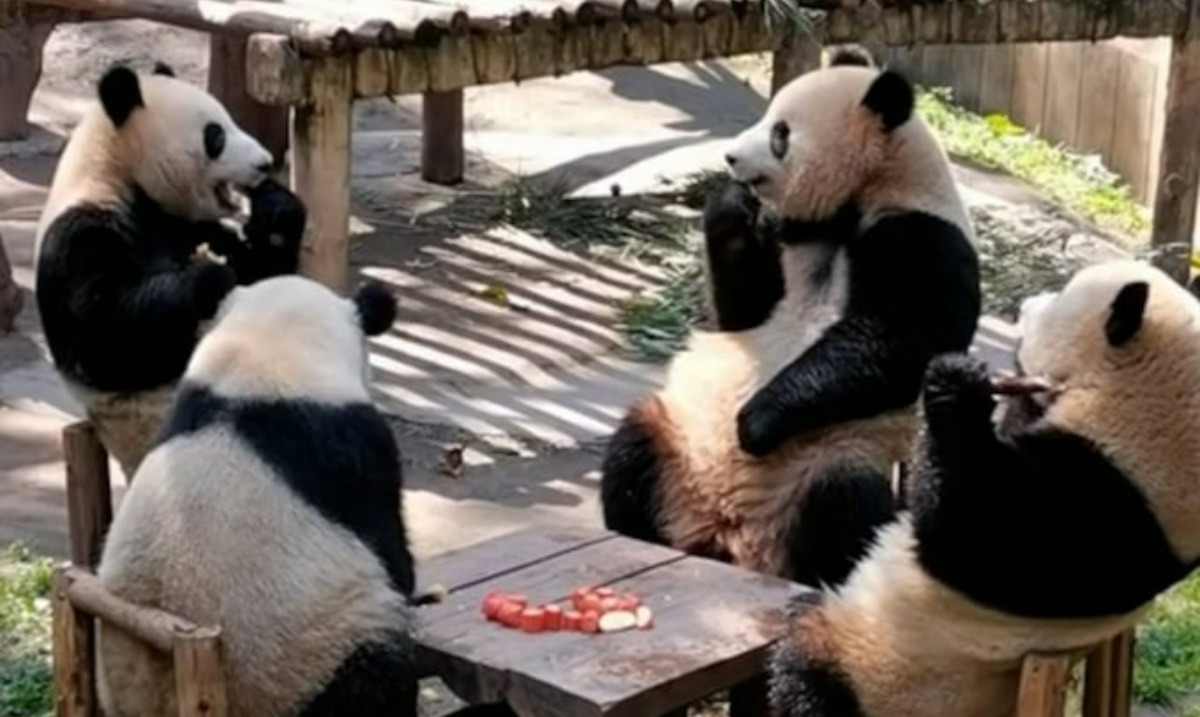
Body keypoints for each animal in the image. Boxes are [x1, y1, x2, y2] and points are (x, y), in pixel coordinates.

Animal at [34, 60, 306, 482]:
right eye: (215, 135)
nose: (264, 163)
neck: (117, 174)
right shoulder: (77, 237)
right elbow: (104, 338)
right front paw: (206, 278)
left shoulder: (186, 224)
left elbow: (263, 277)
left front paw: (276, 208)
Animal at [599, 47, 981, 589]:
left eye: (780, 133)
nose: (730, 158)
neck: (864, 194)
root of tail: (729, 534)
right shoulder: (785, 240)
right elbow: (742, 310)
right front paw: (729, 202)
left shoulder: (922, 236)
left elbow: (895, 342)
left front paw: (754, 423)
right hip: (678, 437)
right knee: (632, 450)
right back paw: (642, 531)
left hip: (825, 463)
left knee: (842, 508)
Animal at [769, 259, 1200, 717]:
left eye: (1058, 297)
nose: (1026, 304)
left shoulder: (1106, 496)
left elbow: (975, 528)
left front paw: (957, 382)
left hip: (886, 672)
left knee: (808, 675)